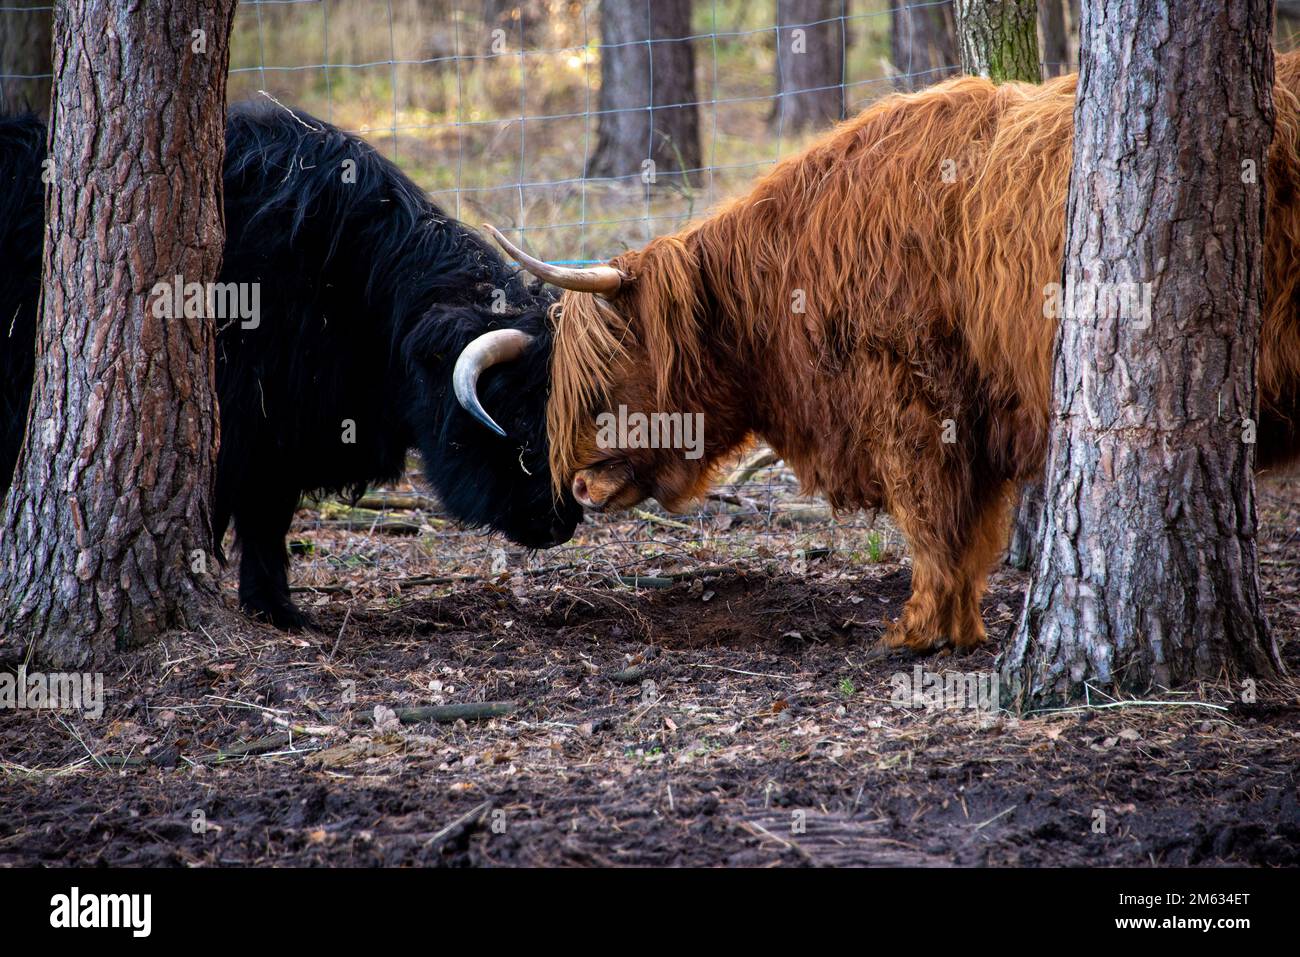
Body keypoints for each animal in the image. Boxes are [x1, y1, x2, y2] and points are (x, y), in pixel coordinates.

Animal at [0, 105, 581, 630]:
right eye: (521, 419)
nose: (562, 522)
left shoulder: (282, 436)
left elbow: (269, 520)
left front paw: (277, 605)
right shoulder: (247, 427)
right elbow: (254, 515)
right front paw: (270, 606)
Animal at [488, 51, 1300, 654]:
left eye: (607, 373)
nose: (580, 487)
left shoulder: (912, 400)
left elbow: (929, 516)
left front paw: (914, 631)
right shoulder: (973, 413)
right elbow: (970, 528)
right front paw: (960, 627)